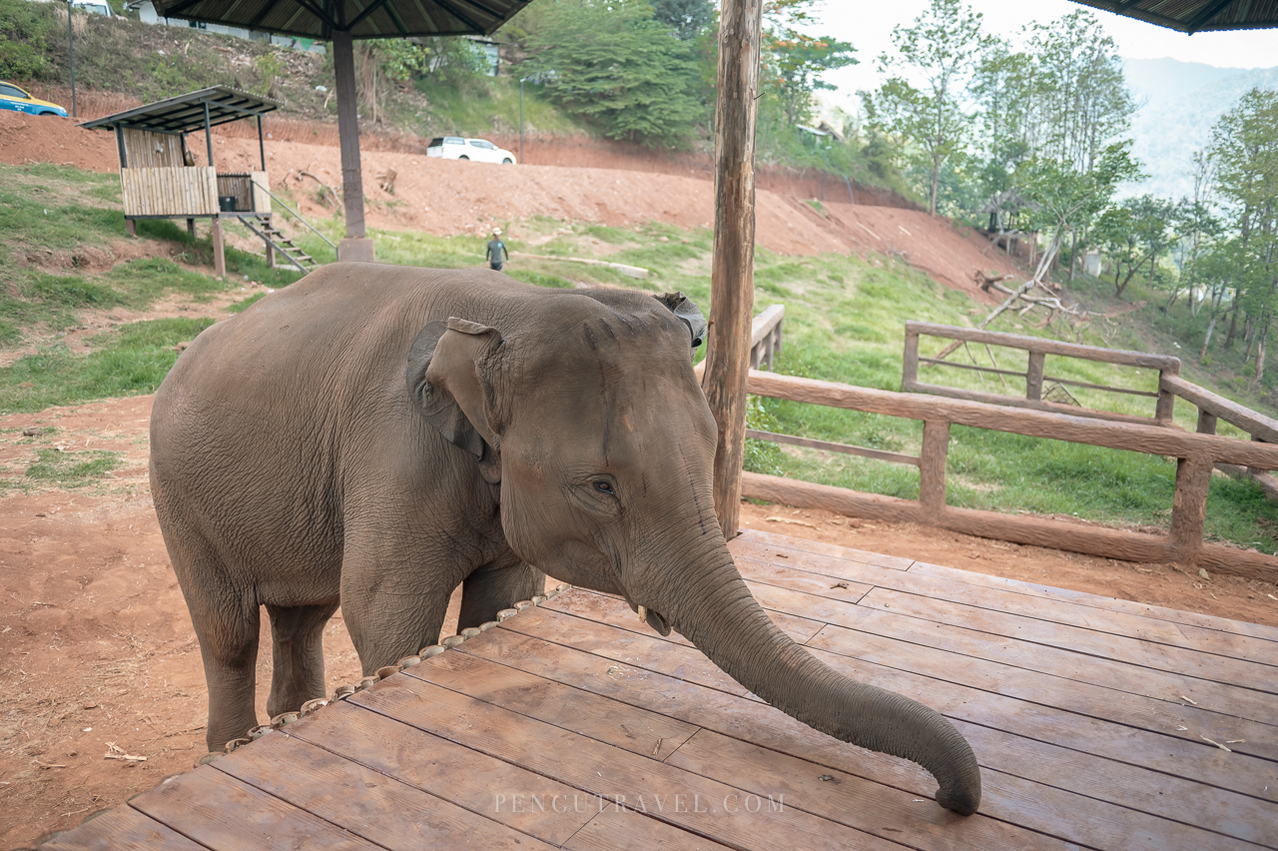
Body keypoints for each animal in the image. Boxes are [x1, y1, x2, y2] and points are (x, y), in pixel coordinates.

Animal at [149, 262, 981, 815]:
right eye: (601, 486)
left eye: (714, 445)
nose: (951, 798)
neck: (513, 307)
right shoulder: (396, 448)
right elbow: (386, 609)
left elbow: (501, 597)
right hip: (175, 491)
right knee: (230, 631)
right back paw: (231, 746)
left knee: (304, 615)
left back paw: (292, 717)